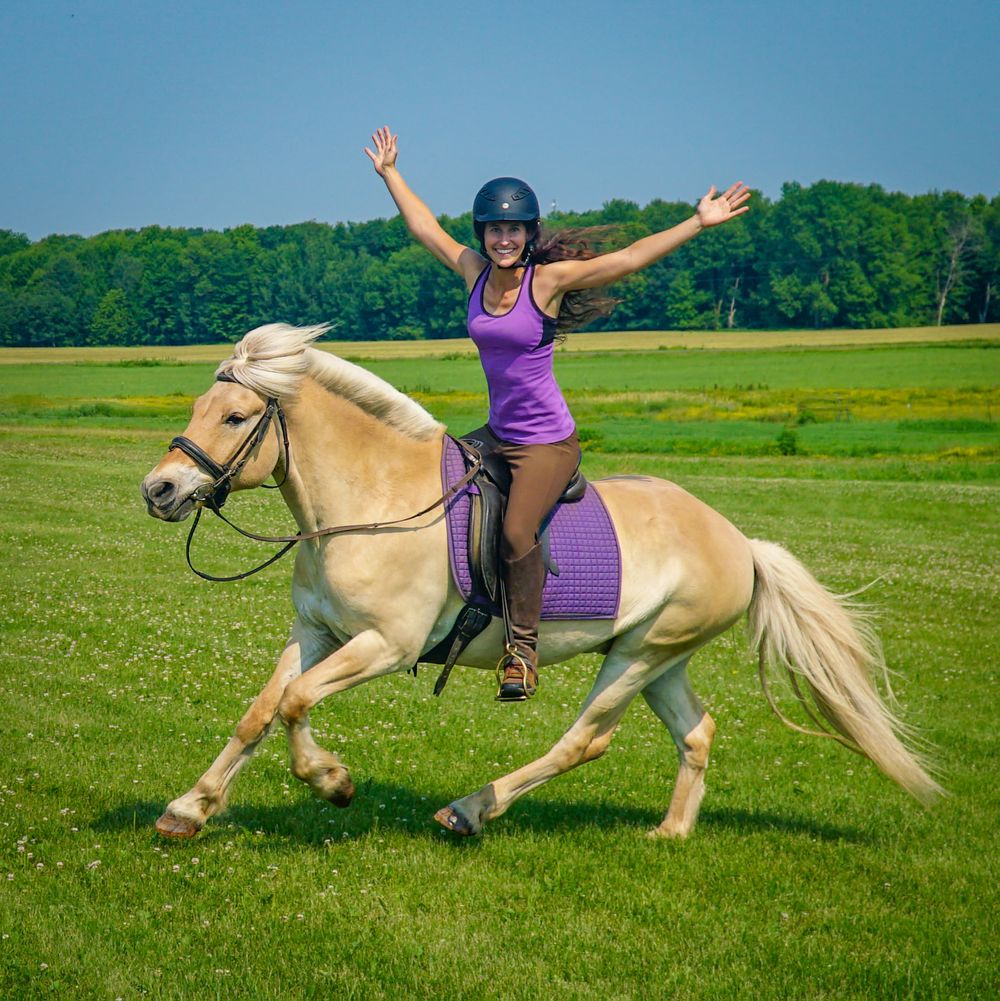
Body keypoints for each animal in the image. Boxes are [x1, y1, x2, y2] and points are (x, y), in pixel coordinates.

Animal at [140, 323, 942, 840]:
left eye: (235, 415)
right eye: (198, 409)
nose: (159, 489)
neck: (372, 501)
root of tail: (740, 542)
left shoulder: (385, 645)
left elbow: (297, 703)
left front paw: (332, 781)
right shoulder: (317, 632)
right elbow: (261, 711)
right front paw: (190, 808)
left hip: (639, 655)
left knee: (583, 742)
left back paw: (469, 809)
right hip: (661, 659)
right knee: (697, 731)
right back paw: (671, 831)